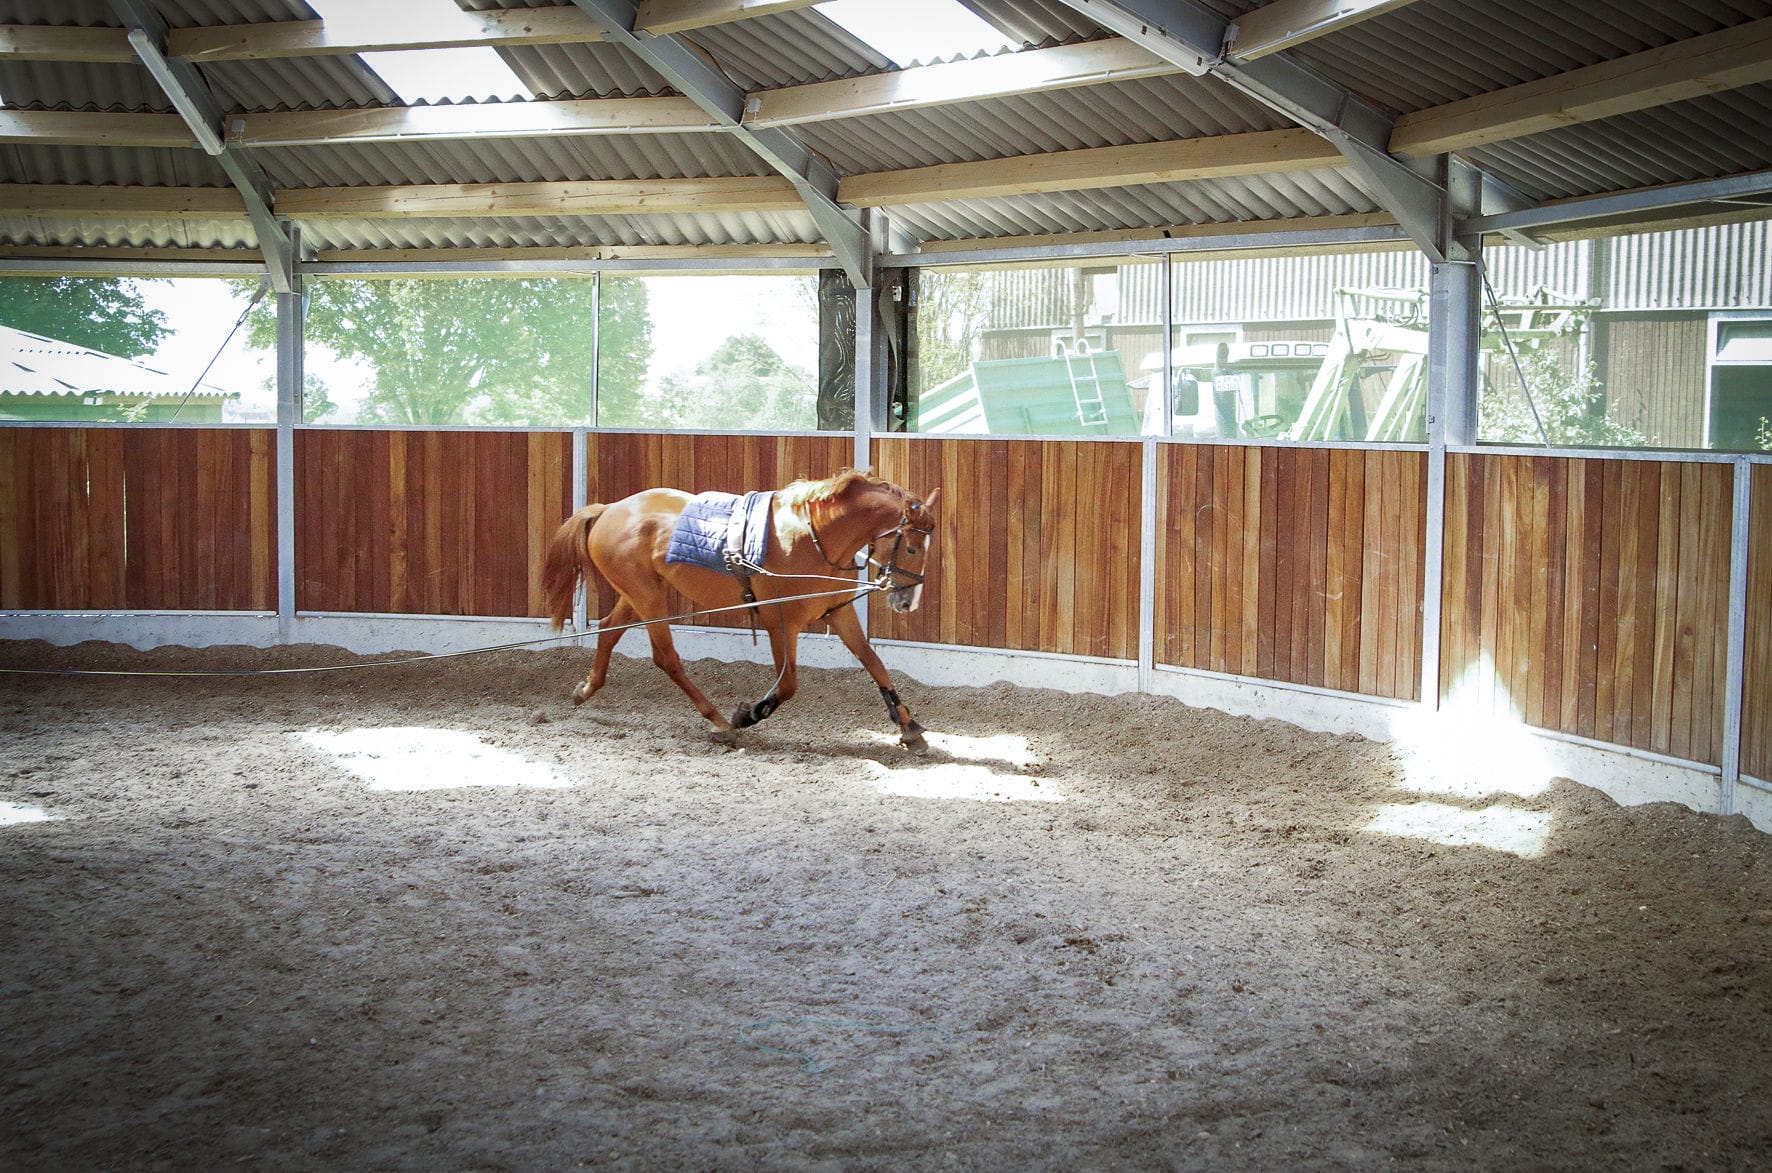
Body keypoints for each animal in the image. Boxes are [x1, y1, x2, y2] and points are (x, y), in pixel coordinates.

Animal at [542, 468, 938, 750]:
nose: (908, 602)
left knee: (608, 630)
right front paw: (746, 715)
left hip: (639, 594)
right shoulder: (781, 623)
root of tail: (609, 509)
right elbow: (789, 684)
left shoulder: (839, 613)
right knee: (665, 658)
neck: (815, 538)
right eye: (912, 548)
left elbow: (874, 663)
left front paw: (908, 727)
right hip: (647, 597)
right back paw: (719, 722)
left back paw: (586, 689)